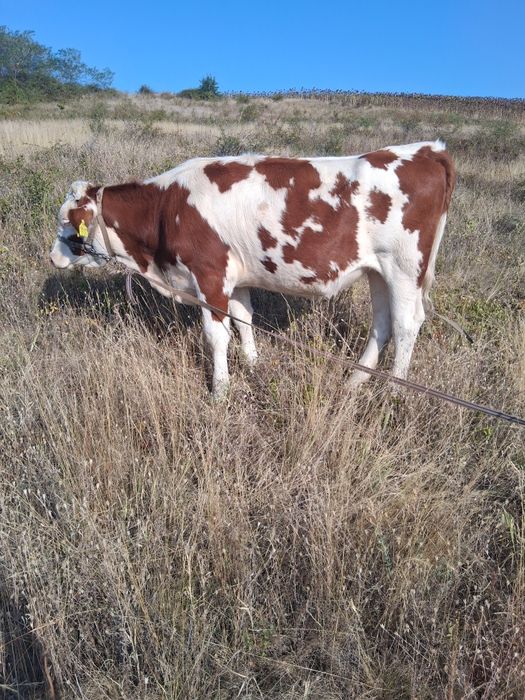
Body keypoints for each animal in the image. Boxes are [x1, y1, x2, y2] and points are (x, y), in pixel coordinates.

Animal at [50, 140, 455, 398]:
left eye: (69, 224)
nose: (53, 258)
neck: (168, 208)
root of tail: (427, 150)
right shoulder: (237, 276)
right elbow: (244, 320)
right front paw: (253, 364)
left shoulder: (210, 275)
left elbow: (217, 336)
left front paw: (219, 390)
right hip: (378, 271)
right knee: (382, 323)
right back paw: (355, 381)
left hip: (405, 268)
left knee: (406, 324)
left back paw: (394, 391)